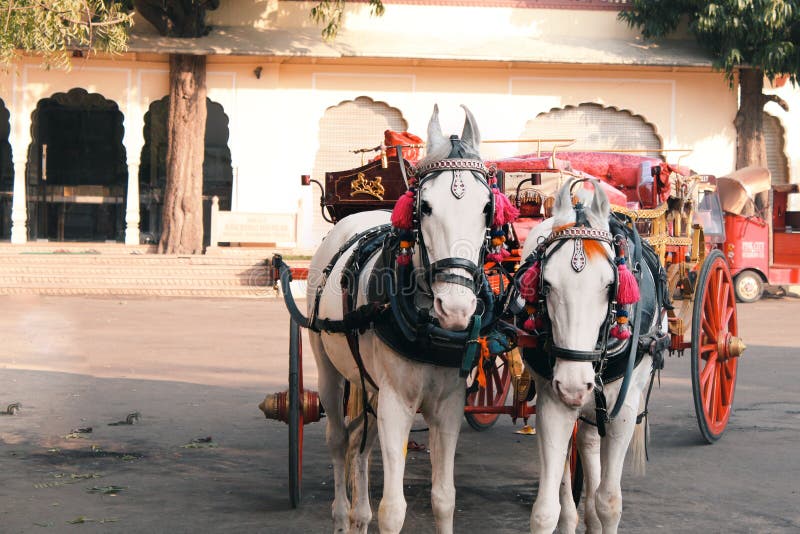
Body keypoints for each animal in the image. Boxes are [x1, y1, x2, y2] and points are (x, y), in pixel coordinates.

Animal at [305, 105, 510, 533]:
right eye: (425, 207)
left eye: (487, 208)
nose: (456, 309)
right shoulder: (396, 403)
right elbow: (393, 510)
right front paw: (373, 513)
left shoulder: (449, 404)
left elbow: (444, 499)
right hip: (327, 363)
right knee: (338, 438)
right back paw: (341, 514)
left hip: (369, 384)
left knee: (359, 440)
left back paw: (358, 515)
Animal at [516, 176, 669, 533]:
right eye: (546, 284)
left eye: (609, 286)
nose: (575, 384)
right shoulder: (553, 402)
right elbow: (545, 511)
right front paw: (561, 515)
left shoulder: (623, 411)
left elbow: (609, 503)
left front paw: (600, 515)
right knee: (579, 445)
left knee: (589, 444)